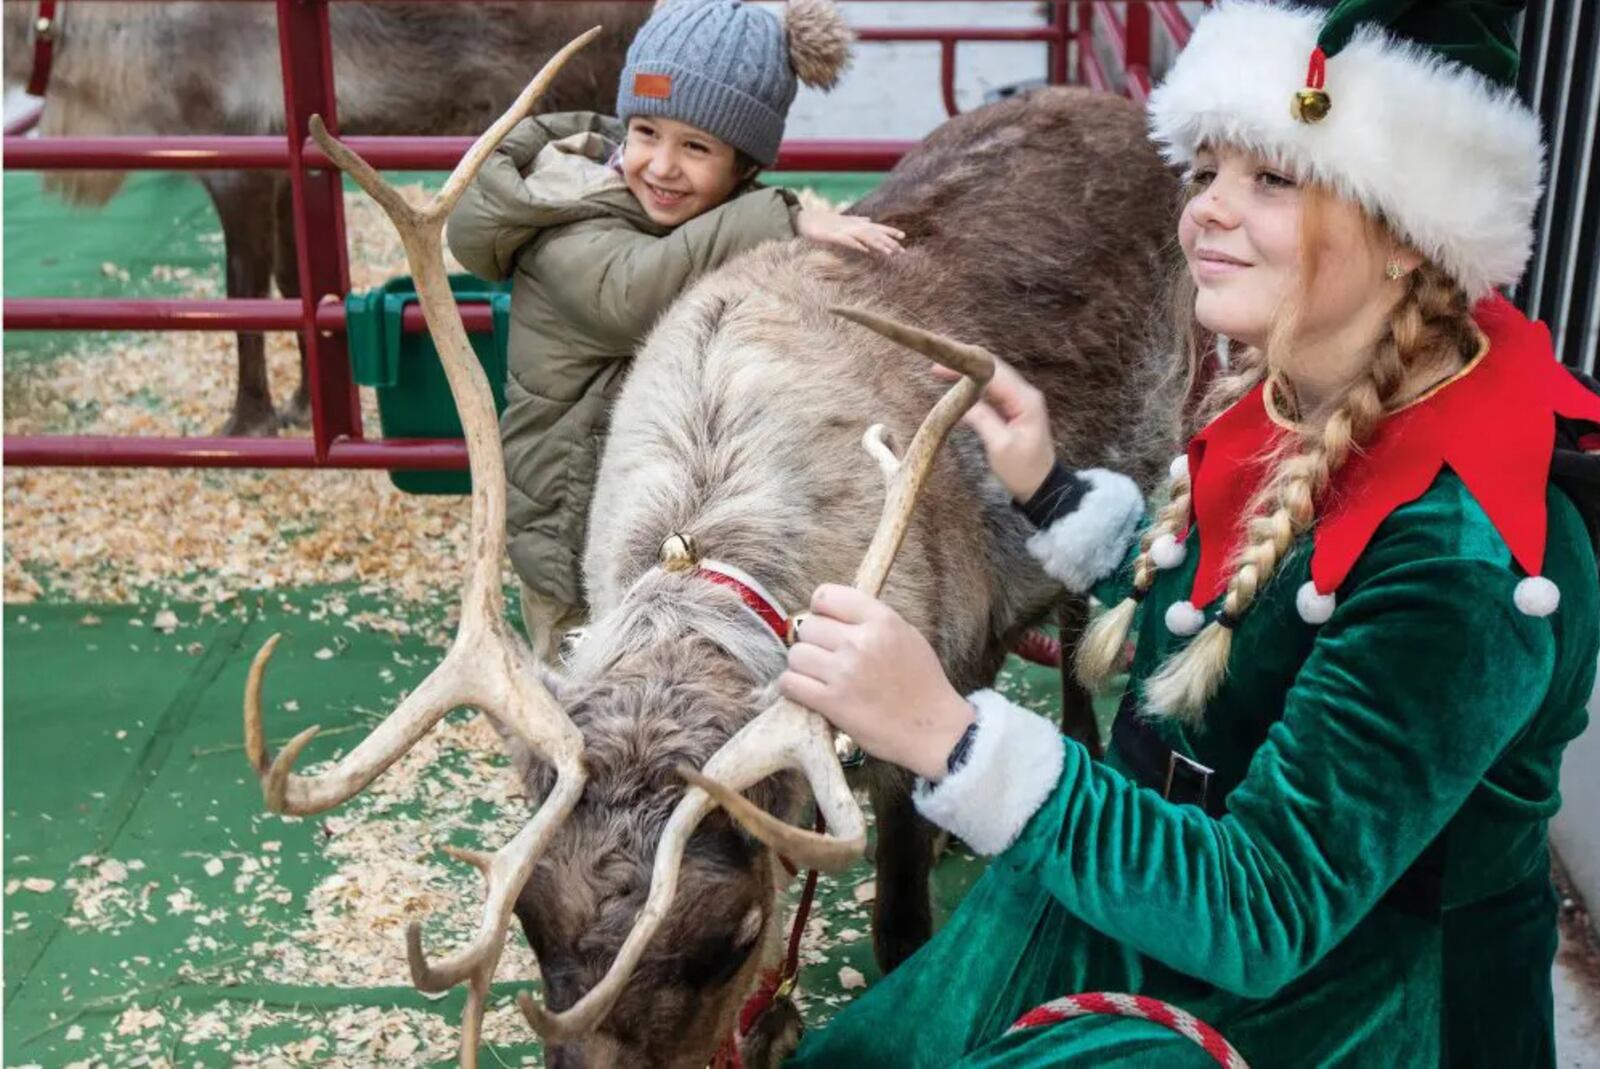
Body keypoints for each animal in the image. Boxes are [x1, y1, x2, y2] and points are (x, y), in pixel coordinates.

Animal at [2, 1, 647, 436]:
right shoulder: (291, 167)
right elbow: (298, 286)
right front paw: (305, 402)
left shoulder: (239, 165)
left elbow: (244, 297)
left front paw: (248, 418)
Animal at [241, 27, 1183, 1069]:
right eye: (529, 920)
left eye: (733, 937)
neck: (714, 536)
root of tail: (1112, 104)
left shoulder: (917, 684)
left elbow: (900, 928)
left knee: (1081, 615)